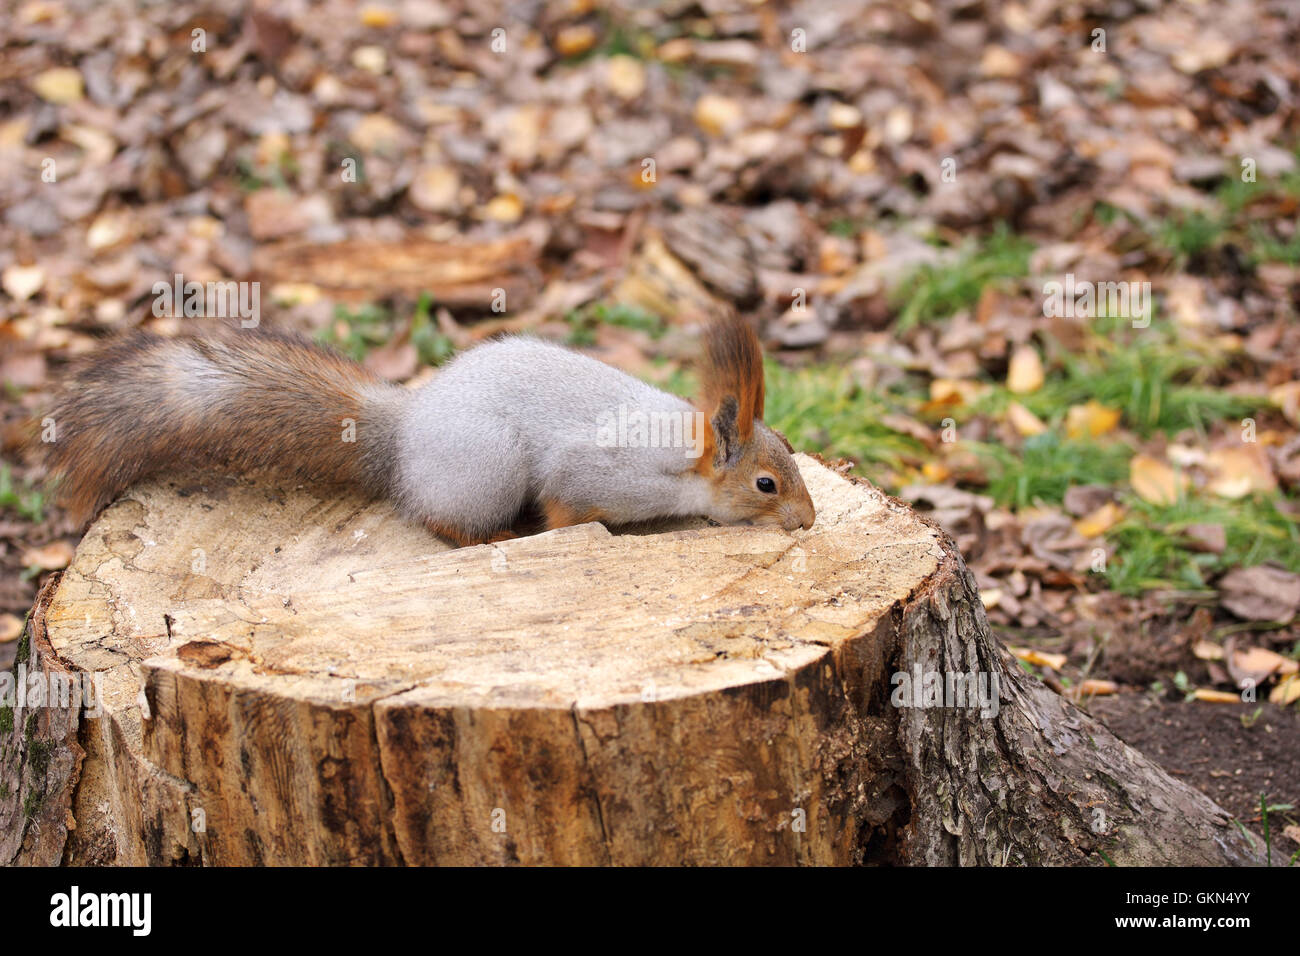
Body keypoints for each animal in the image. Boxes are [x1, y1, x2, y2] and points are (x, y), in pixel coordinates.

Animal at [37, 315, 816, 546]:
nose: (809, 521)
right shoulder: (597, 474)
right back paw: (493, 538)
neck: (686, 461)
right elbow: (566, 505)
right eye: (766, 483)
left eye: (793, 451)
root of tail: (405, 436)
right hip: (486, 471)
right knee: (444, 522)